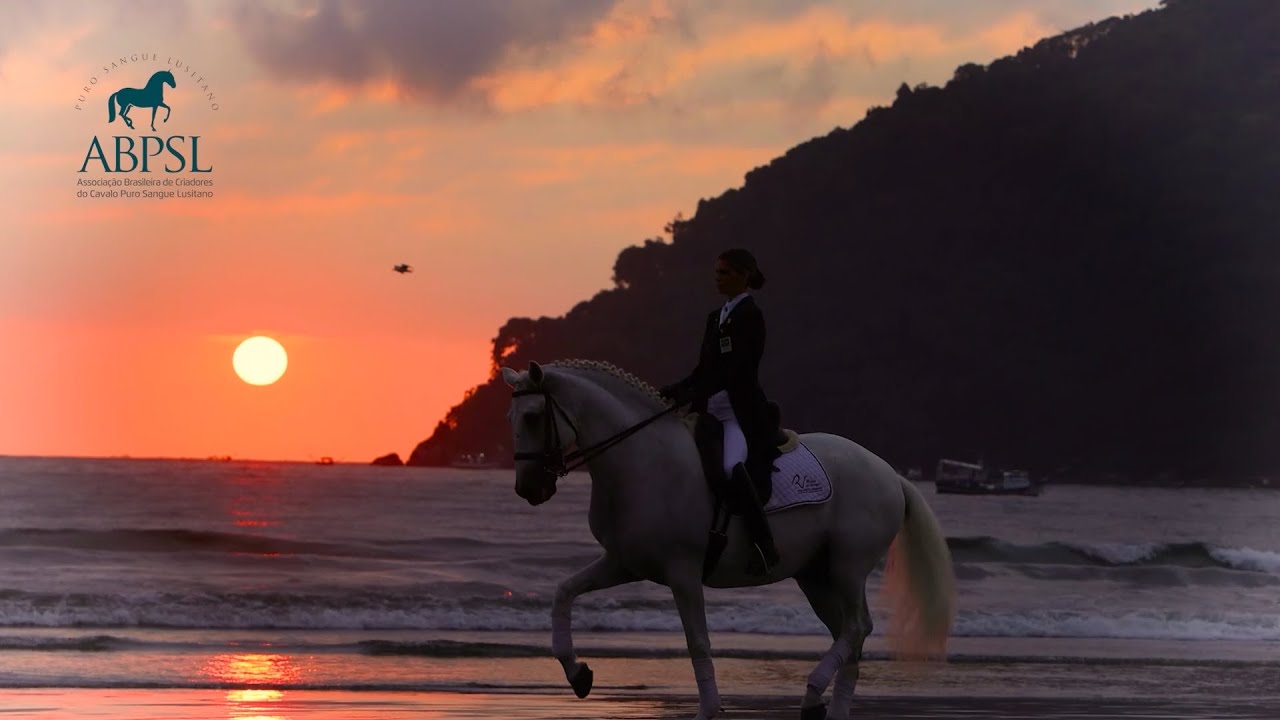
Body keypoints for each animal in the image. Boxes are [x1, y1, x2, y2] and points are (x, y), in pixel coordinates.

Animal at [501, 359, 956, 720]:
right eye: (512, 418)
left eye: (532, 417)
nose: (528, 489)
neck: (641, 462)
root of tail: (889, 472)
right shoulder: (624, 563)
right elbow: (564, 592)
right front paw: (578, 673)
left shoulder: (682, 572)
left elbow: (698, 644)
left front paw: (708, 710)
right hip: (815, 576)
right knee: (850, 633)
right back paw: (826, 706)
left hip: (848, 566)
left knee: (858, 625)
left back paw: (812, 690)